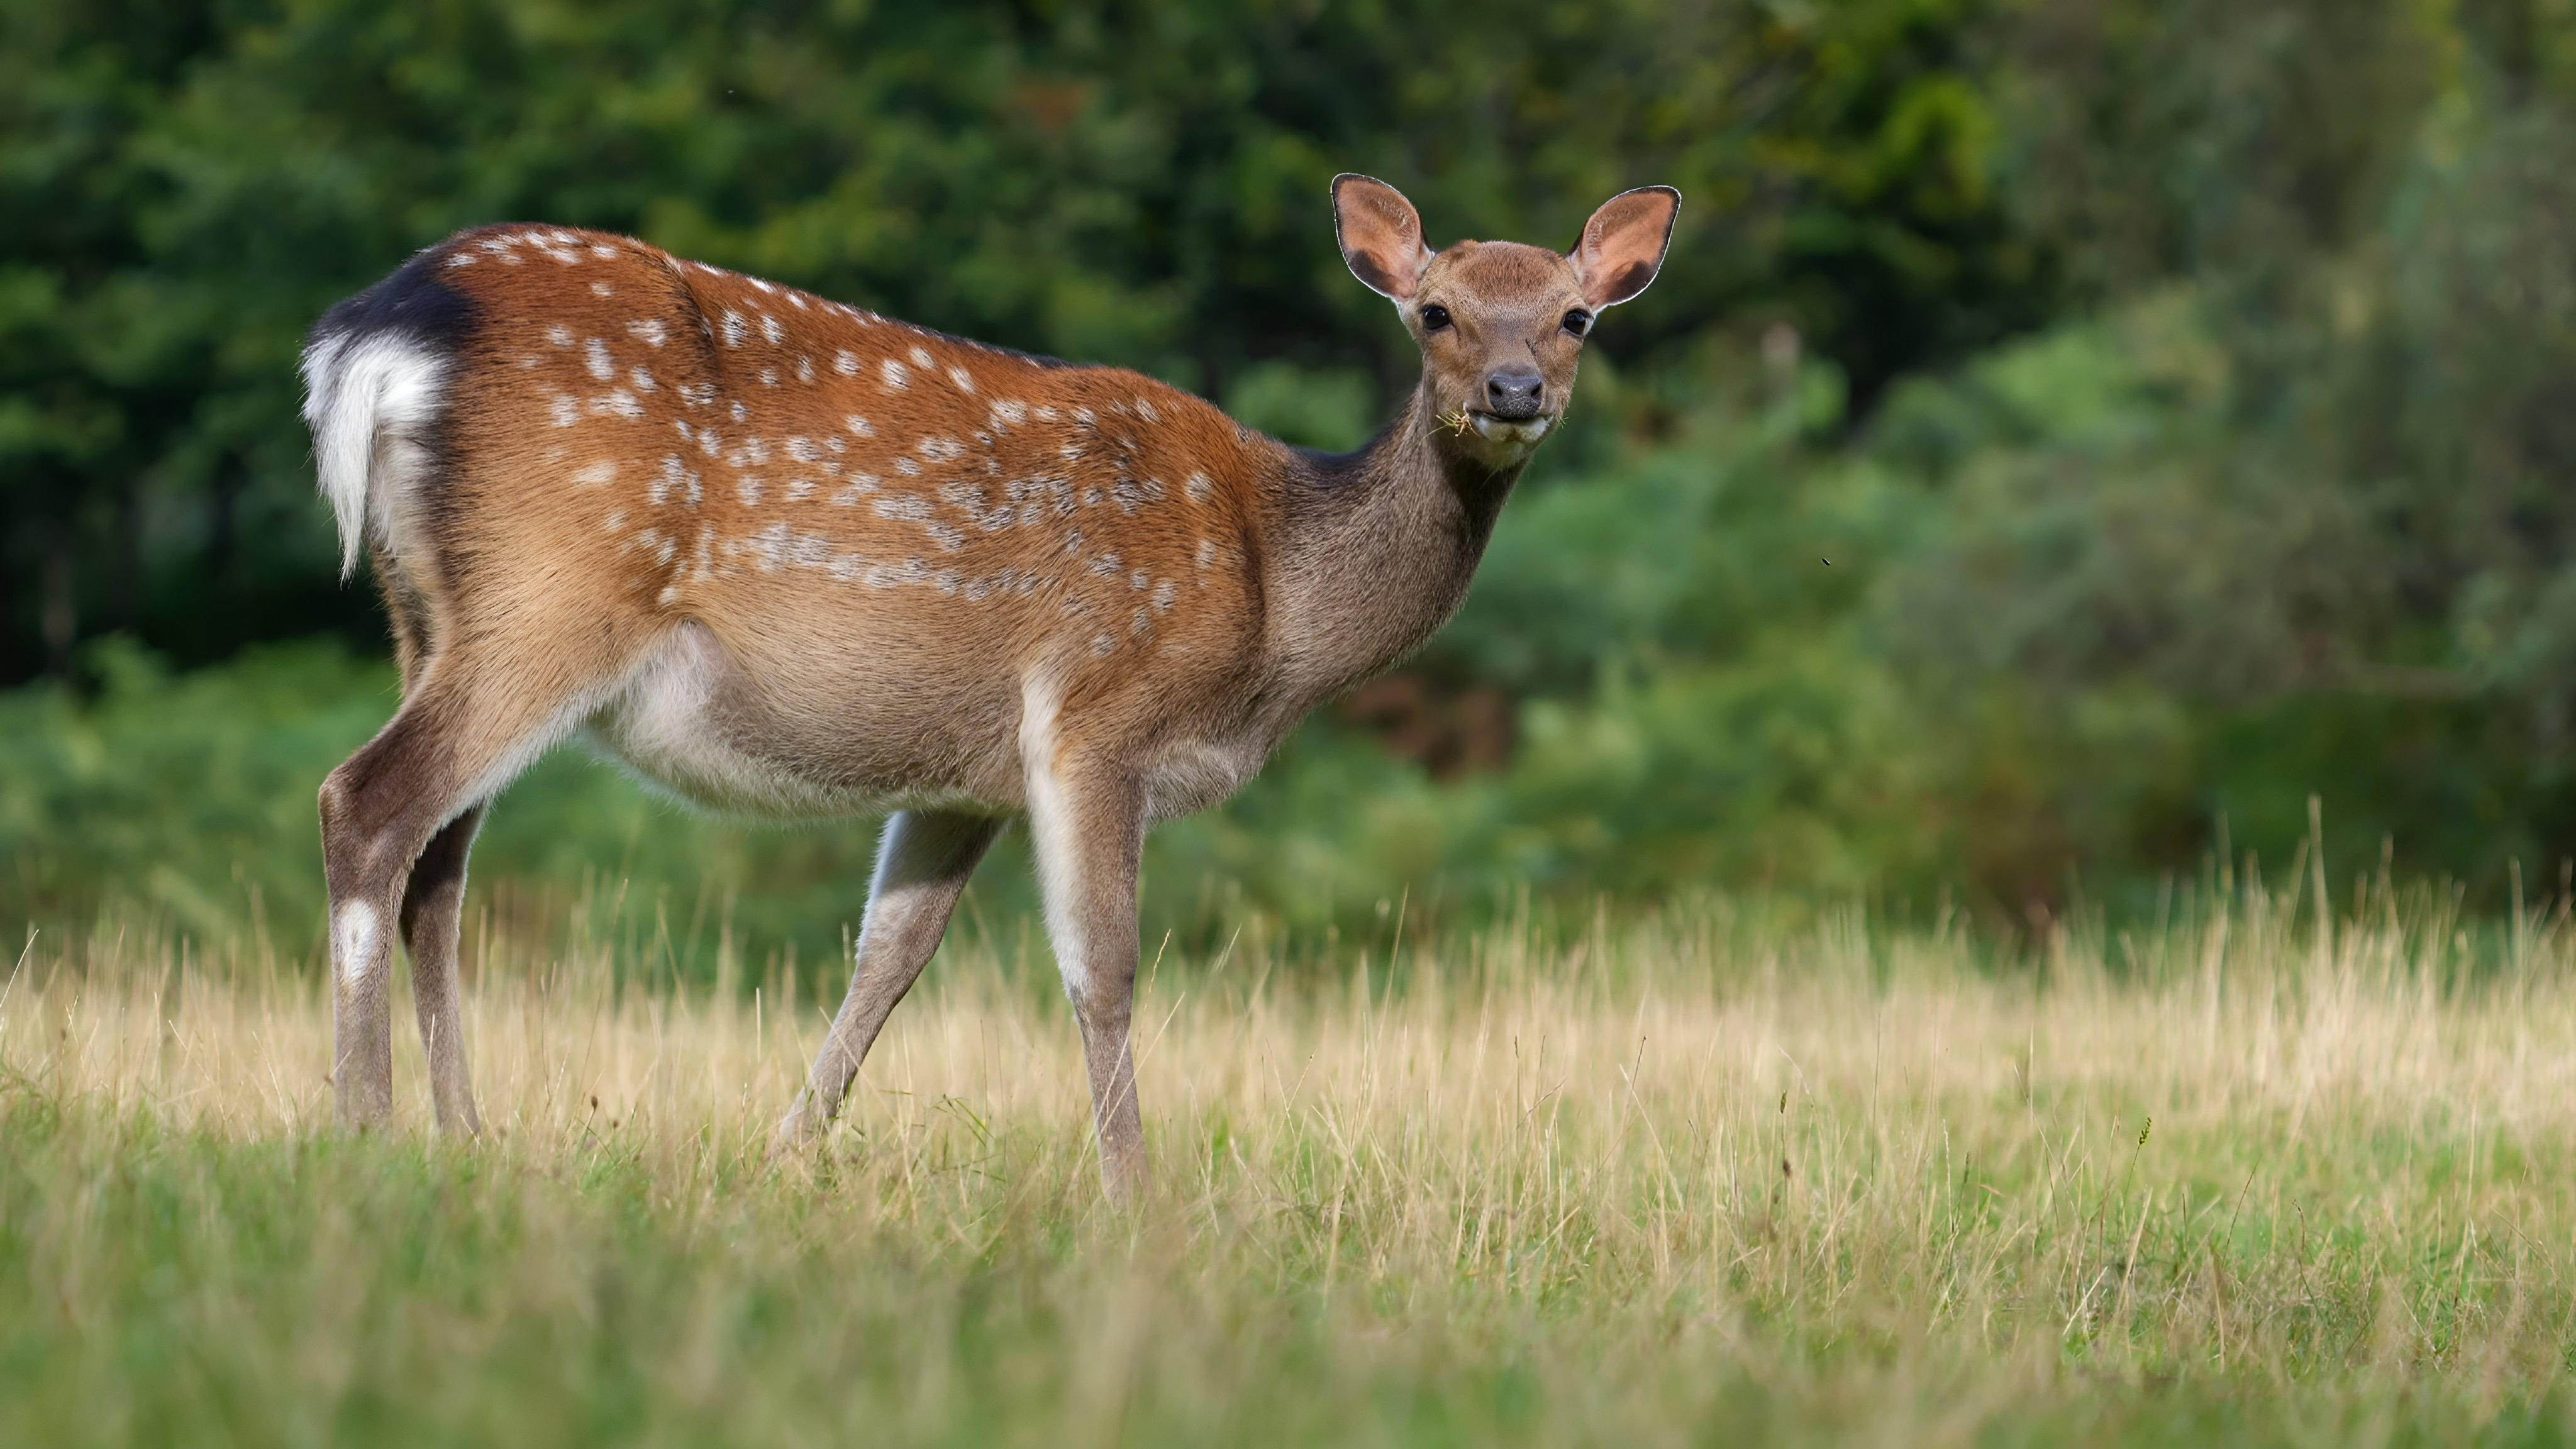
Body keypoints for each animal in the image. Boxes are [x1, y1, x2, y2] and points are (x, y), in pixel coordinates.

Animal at [299, 174, 1679, 1196]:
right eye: (1435, 311)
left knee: (439, 860)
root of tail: (373, 332)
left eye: (1575, 318)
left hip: (428, 614)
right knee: (367, 802)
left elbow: (890, 955)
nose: (1513, 391)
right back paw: (364, 1132)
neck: (1277, 608)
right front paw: (1136, 1196)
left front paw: (784, 1158)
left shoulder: (964, 772)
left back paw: (466, 1134)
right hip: (555, 592)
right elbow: (1102, 965)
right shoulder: (1097, 709)